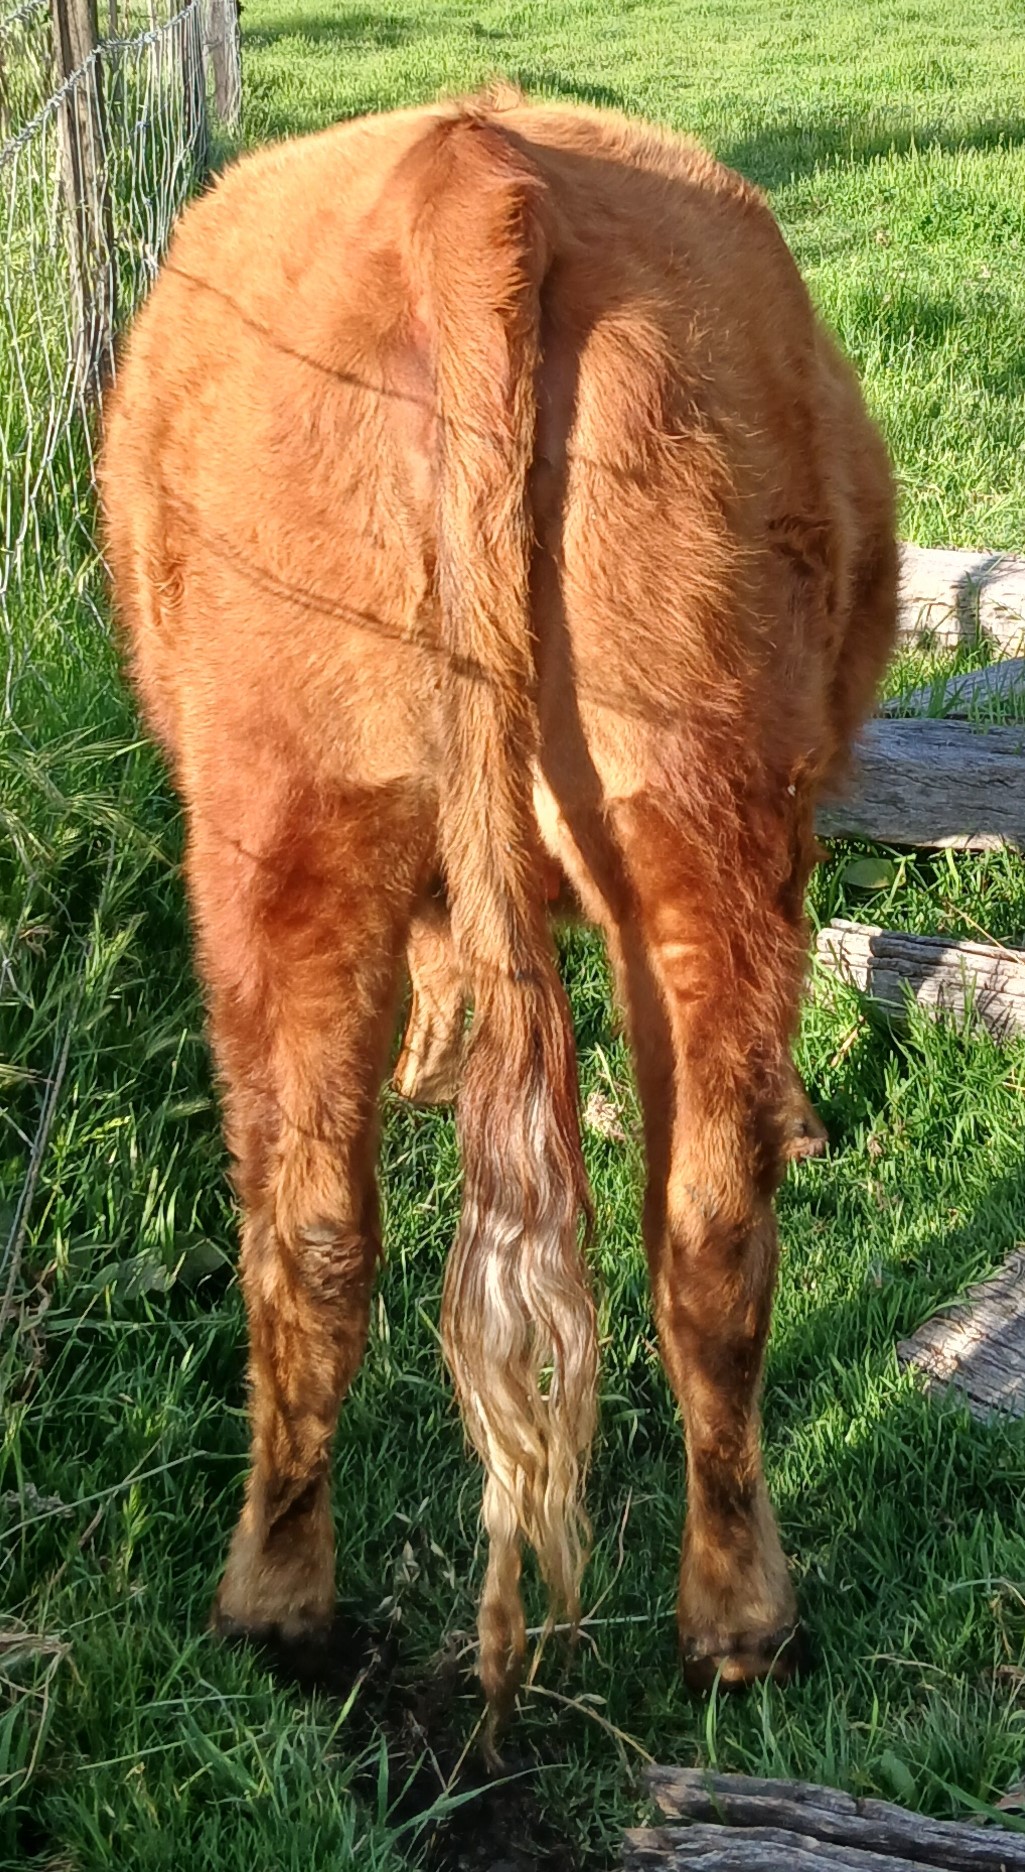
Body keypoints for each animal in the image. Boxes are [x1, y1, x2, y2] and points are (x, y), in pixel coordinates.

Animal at [99, 88, 897, 1728]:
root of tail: (473, 167)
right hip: (691, 832)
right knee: (700, 1236)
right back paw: (737, 1625)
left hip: (293, 828)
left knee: (309, 1221)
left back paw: (275, 1610)